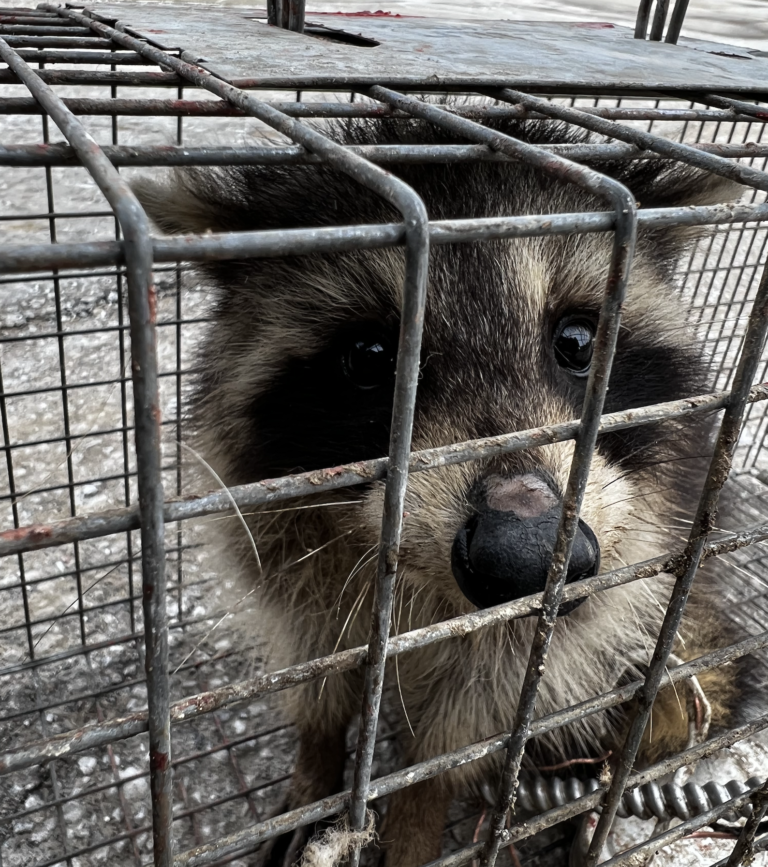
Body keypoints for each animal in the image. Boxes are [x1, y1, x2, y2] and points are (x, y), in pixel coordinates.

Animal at [136, 111, 747, 866]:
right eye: (372, 359)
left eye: (578, 342)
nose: (524, 555)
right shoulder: (281, 544)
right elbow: (315, 666)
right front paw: (316, 765)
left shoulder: (601, 578)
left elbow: (462, 730)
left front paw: (414, 821)